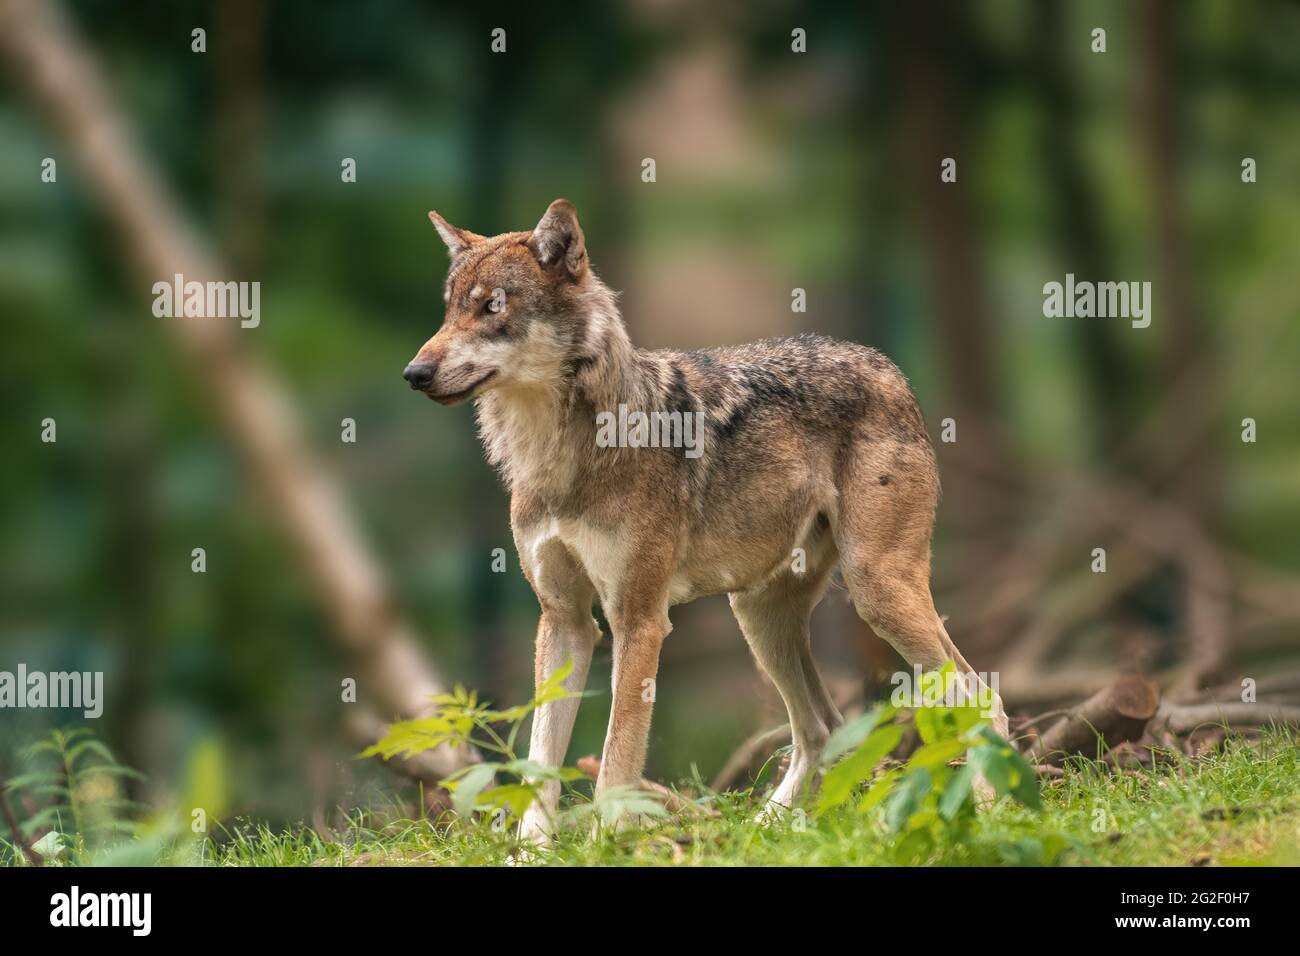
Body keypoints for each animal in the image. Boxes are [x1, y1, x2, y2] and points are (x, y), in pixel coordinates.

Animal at [404, 199, 1008, 841]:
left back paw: (996, 813)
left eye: (493, 306)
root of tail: (885, 363)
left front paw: (602, 842)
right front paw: (531, 850)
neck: (558, 452)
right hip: (757, 616)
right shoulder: (564, 620)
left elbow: (616, 759)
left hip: (876, 592)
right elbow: (540, 760)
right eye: (450, 308)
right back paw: (763, 830)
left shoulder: (639, 621)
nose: (415, 373)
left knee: (979, 696)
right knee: (820, 728)